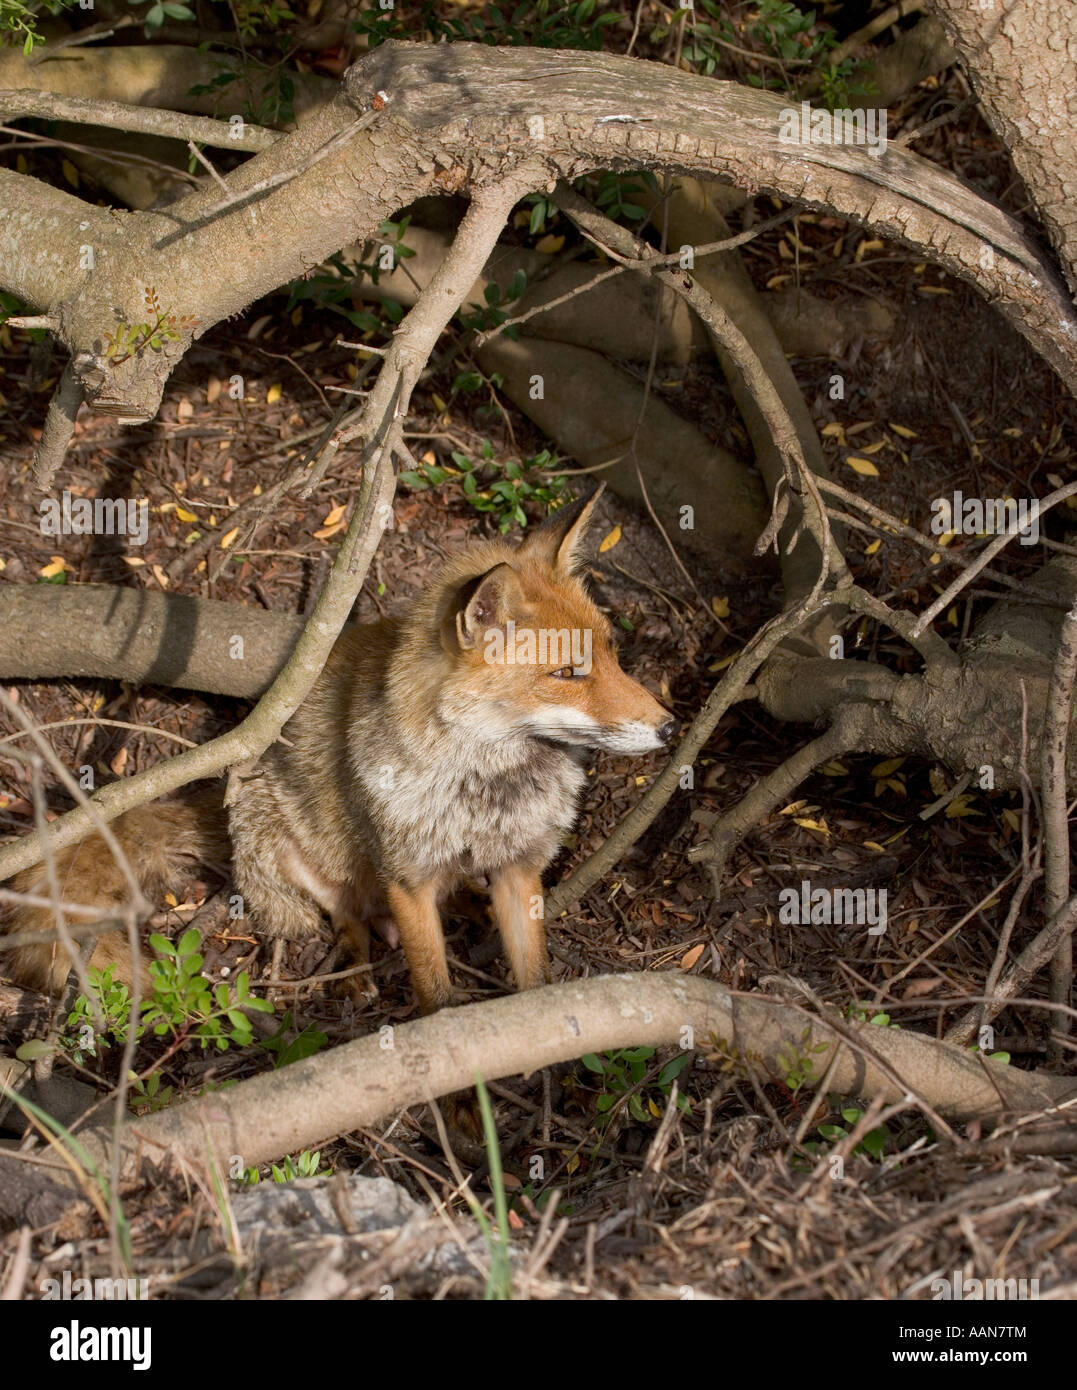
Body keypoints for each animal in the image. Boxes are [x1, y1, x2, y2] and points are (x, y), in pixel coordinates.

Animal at [1, 486, 675, 1020]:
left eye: (613, 653)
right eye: (566, 673)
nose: (671, 729)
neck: (484, 786)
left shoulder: (519, 869)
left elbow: (535, 983)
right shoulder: (407, 879)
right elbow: (435, 995)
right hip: (303, 867)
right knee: (348, 920)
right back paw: (357, 974)